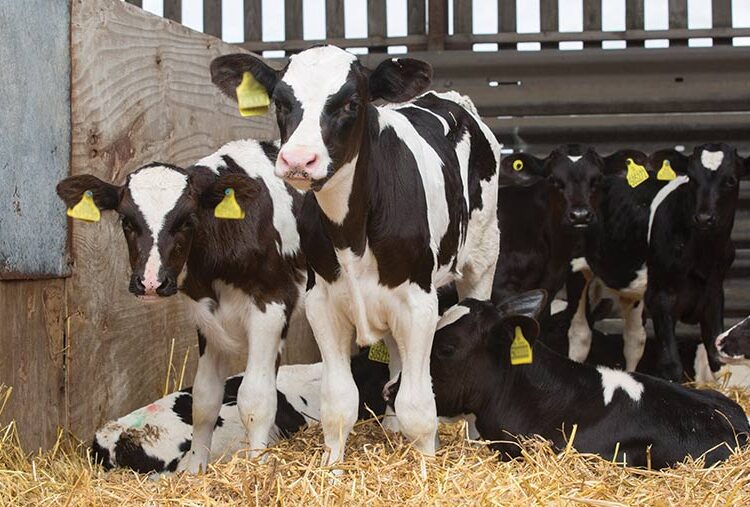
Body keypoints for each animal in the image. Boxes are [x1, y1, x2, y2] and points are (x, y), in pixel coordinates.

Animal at [57, 139, 310, 473]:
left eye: (186, 221)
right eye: (126, 221)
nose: (150, 282)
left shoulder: (273, 304)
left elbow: (256, 399)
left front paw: (256, 469)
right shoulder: (207, 315)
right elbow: (204, 399)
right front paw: (194, 470)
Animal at [210, 46, 501, 463]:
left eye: (351, 103)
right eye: (281, 102)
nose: (299, 160)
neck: (351, 232)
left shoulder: (419, 302)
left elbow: (418, 406)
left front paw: (427, 466)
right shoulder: (323, 302)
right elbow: (338, 404)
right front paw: (332, 467)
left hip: (482, 256)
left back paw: (475, 441)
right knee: (394, 359)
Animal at [645, 144, 748, 382]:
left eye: (731, 180)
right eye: (691, 178)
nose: (704, 218)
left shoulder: (714, 294)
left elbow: (717, 362)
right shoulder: (661, 296)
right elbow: (671, 365)